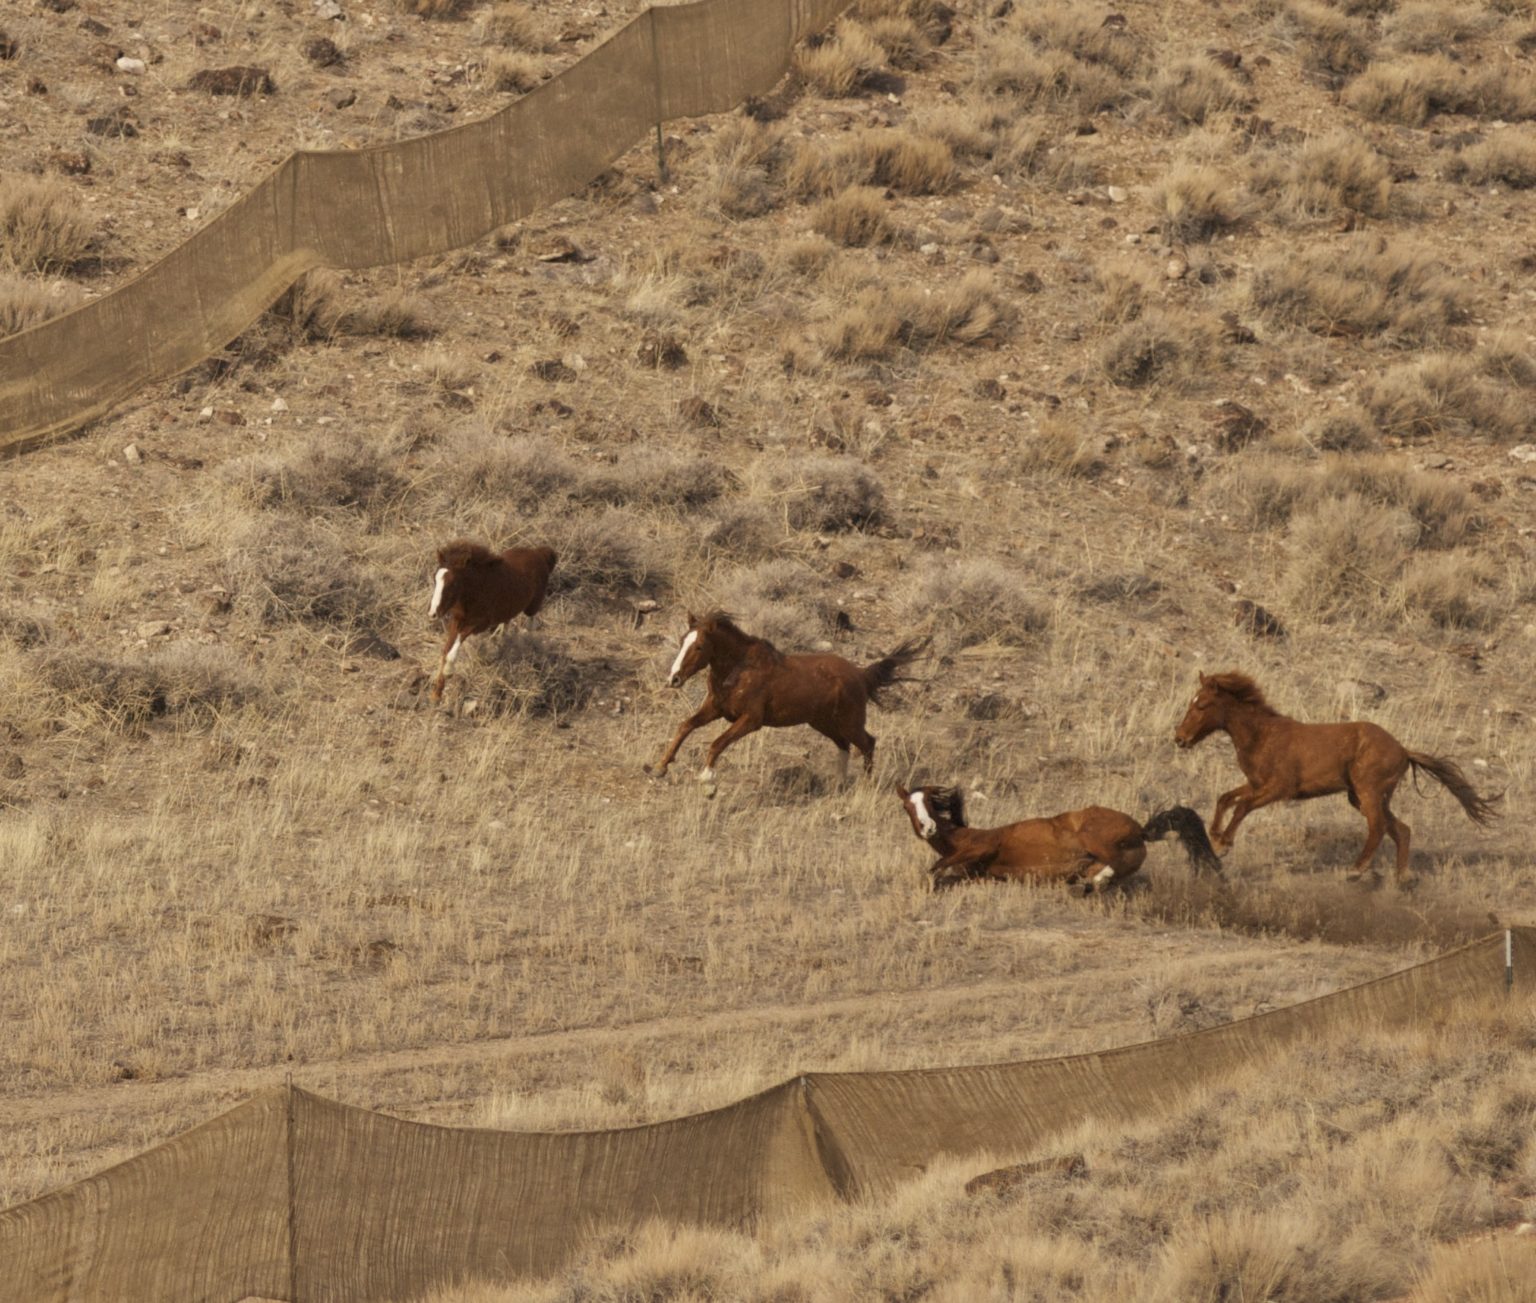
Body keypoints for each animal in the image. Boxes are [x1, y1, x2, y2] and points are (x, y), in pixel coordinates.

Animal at [428, 540, 557, 703]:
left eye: (453, 583)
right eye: (435, 578)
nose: (433, 613)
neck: (475, 590)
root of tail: (540, 553)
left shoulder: (478, 624)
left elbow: (454, 648)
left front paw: (448, 671)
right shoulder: (456, 621)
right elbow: (446, 651)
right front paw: (436, 693)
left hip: (532, 606)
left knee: (531, 623)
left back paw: (527, 646)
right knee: (508, 621)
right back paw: (499, 636)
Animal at [647, 611, 927, 797]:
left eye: (699, 646)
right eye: (682, 640)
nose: (673, 678)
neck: (739, 669)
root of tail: (861, 674)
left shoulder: (751, 720)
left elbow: (717, 743)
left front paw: (707, 782)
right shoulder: (716, 709)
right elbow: (686, 726)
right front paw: (659, 767)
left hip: (849, 722)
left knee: (868, 743)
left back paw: (866, 787)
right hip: (823, 723)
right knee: (845, 745)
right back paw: (839, 784)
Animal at [896, 784, 1221, 892]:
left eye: (929, 801)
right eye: (907, 806)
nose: (928, 828)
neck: (963, 836)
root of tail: (1140, 829)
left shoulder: (982, 848)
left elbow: (935, 868)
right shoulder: (973, 872)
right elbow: (944, 870)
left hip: (1092, 837)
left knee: (1112, 863)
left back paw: (1089, 883)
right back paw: (1088, 882)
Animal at [1173, 670, 1500, 886]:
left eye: (1201, 705)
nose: (1180, 739)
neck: (1262, 735)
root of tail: (1403, 750)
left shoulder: (1279, 788)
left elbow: (1241, 807)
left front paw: (1223, 844)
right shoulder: (1256, 785)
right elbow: (1225, 798)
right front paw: (1215, 838)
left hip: (1368, 792)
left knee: (1379, 827)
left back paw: (1356, 870)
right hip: (1362, 796)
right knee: (1401, 829)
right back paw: (1401, 879)